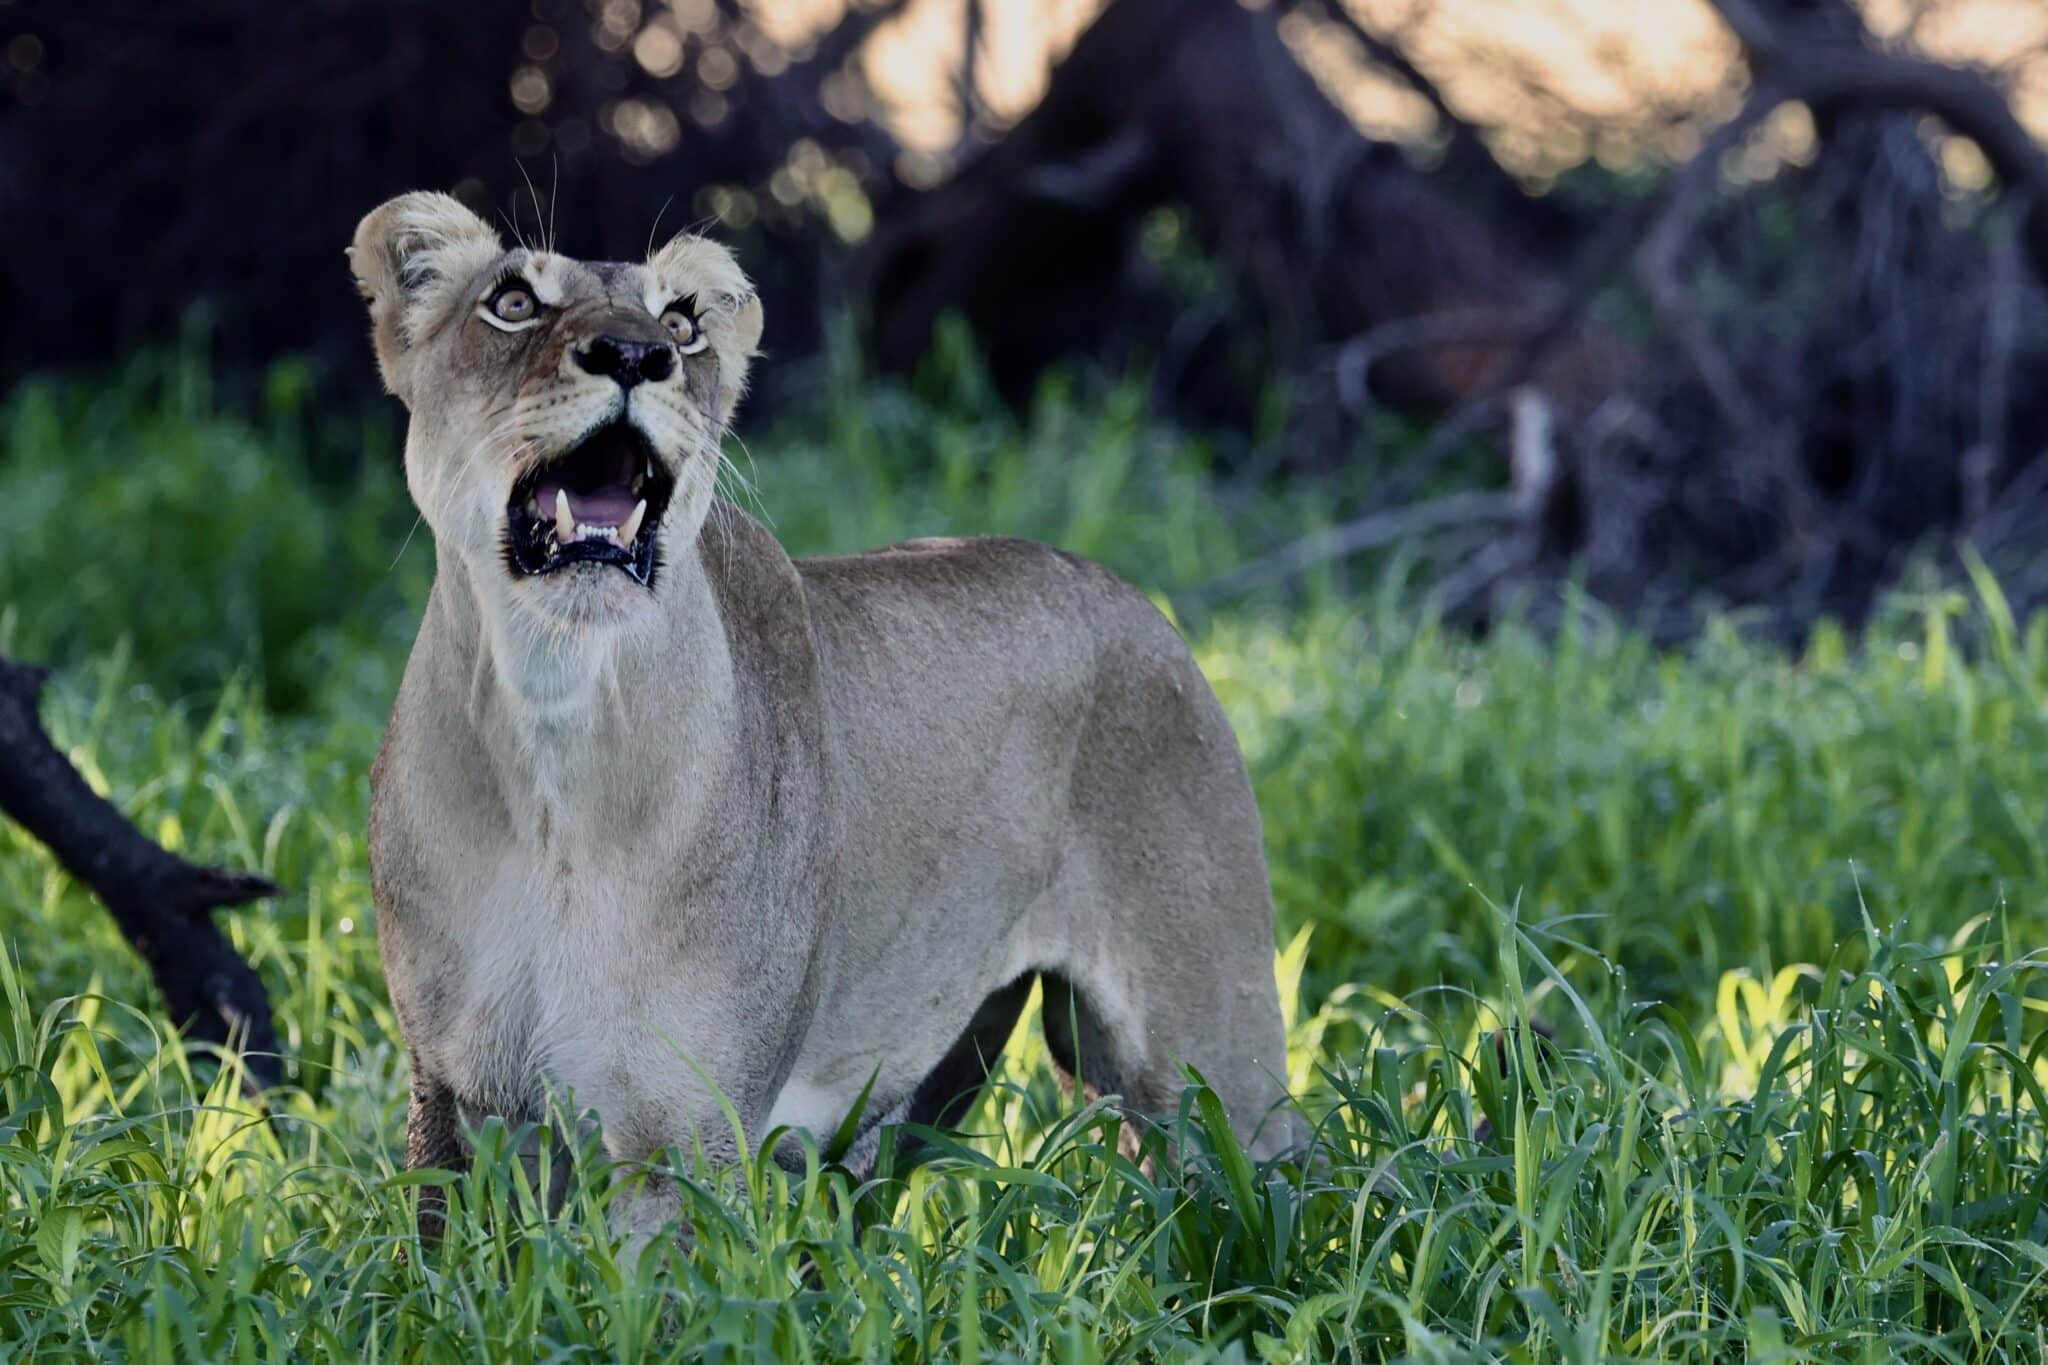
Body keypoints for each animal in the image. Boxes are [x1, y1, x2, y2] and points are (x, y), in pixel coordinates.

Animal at [350, 191, 1299, 1243]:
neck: (551, 725)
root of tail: (1142, 601)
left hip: (1212, 1063)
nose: (637, 356)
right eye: (513, 302)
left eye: (680, 322)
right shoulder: (456, 1098)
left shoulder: (684, 1134)